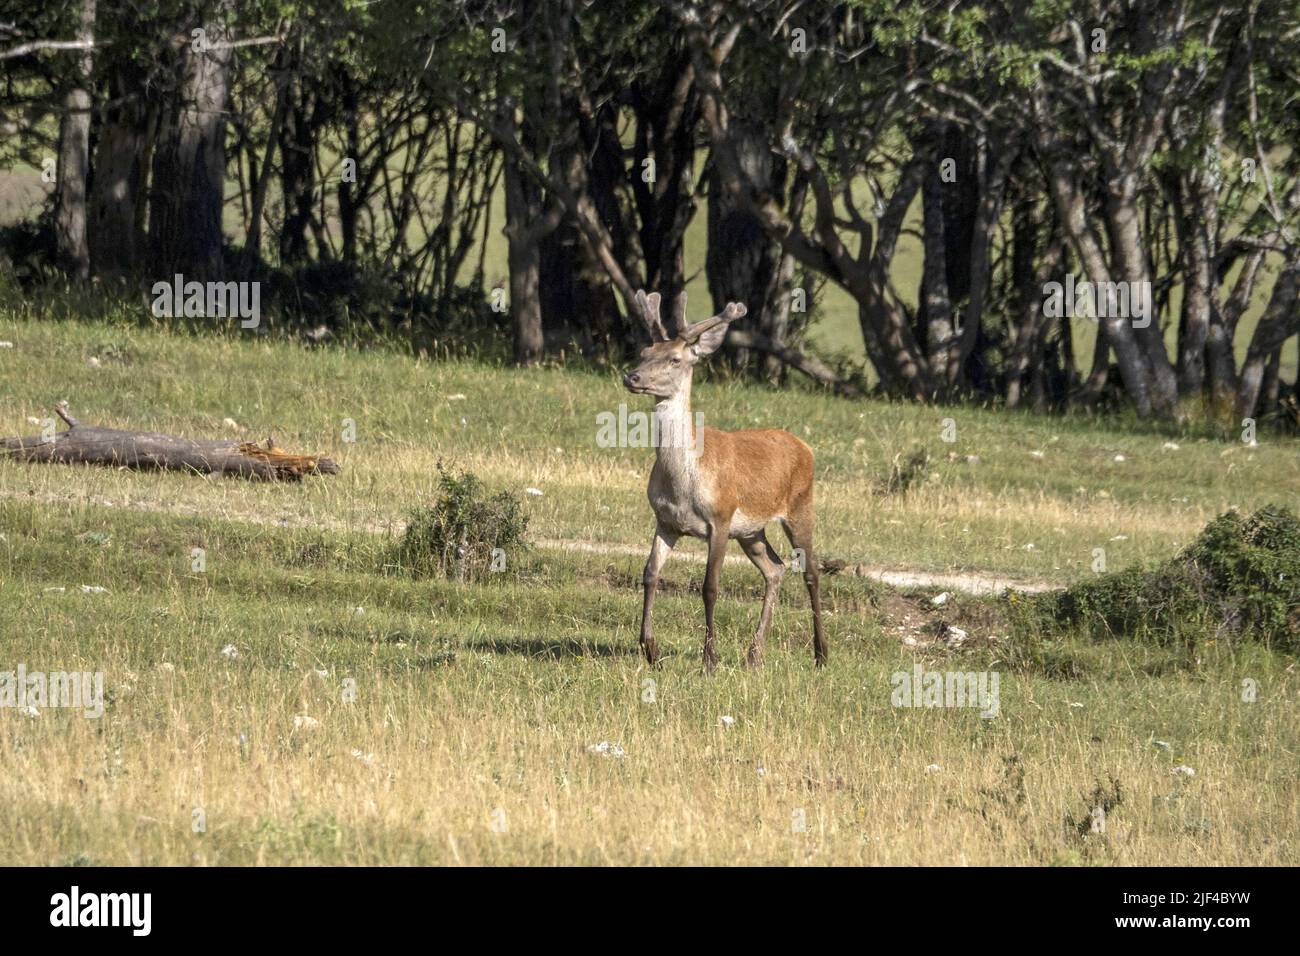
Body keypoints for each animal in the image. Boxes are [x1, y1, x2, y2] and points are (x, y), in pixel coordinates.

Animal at [622, 289, 827, 672]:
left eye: (675, 359)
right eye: (643, 352)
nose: (632, 376)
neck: (684, 482)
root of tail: (804, 446)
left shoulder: (720, 517)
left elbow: (710, 586)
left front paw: (710, 660)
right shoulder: (666, 521)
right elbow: (650, 573)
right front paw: (651, 650)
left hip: (800, 505)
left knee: (811, 571)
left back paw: (821, 654)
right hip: (751, 530)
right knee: (775, 569)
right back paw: (754, 655)